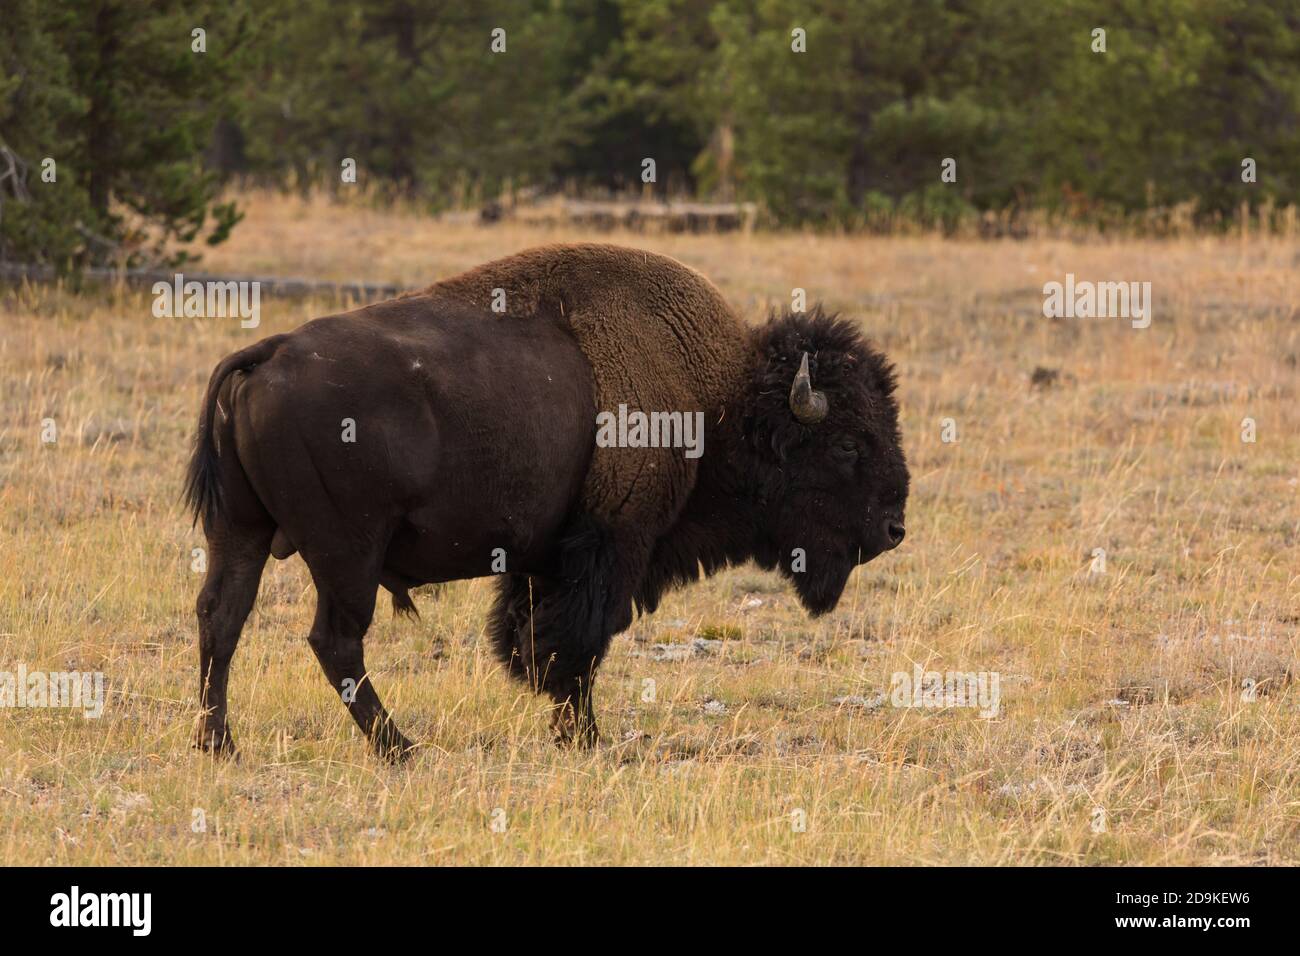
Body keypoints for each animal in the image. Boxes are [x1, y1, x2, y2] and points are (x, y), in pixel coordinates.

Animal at [185, 244, 909, 760]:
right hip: (349, 552)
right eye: (848, 444)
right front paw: (582, 736)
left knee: (222, 616)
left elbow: (539, 637)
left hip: (241, 531)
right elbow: (577, 643)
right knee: (333, 640)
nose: (894, 528)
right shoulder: (611, 545)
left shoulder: (544, 559)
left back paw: (219, 745)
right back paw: (401, 748)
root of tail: (265, 356)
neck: (720, 400)